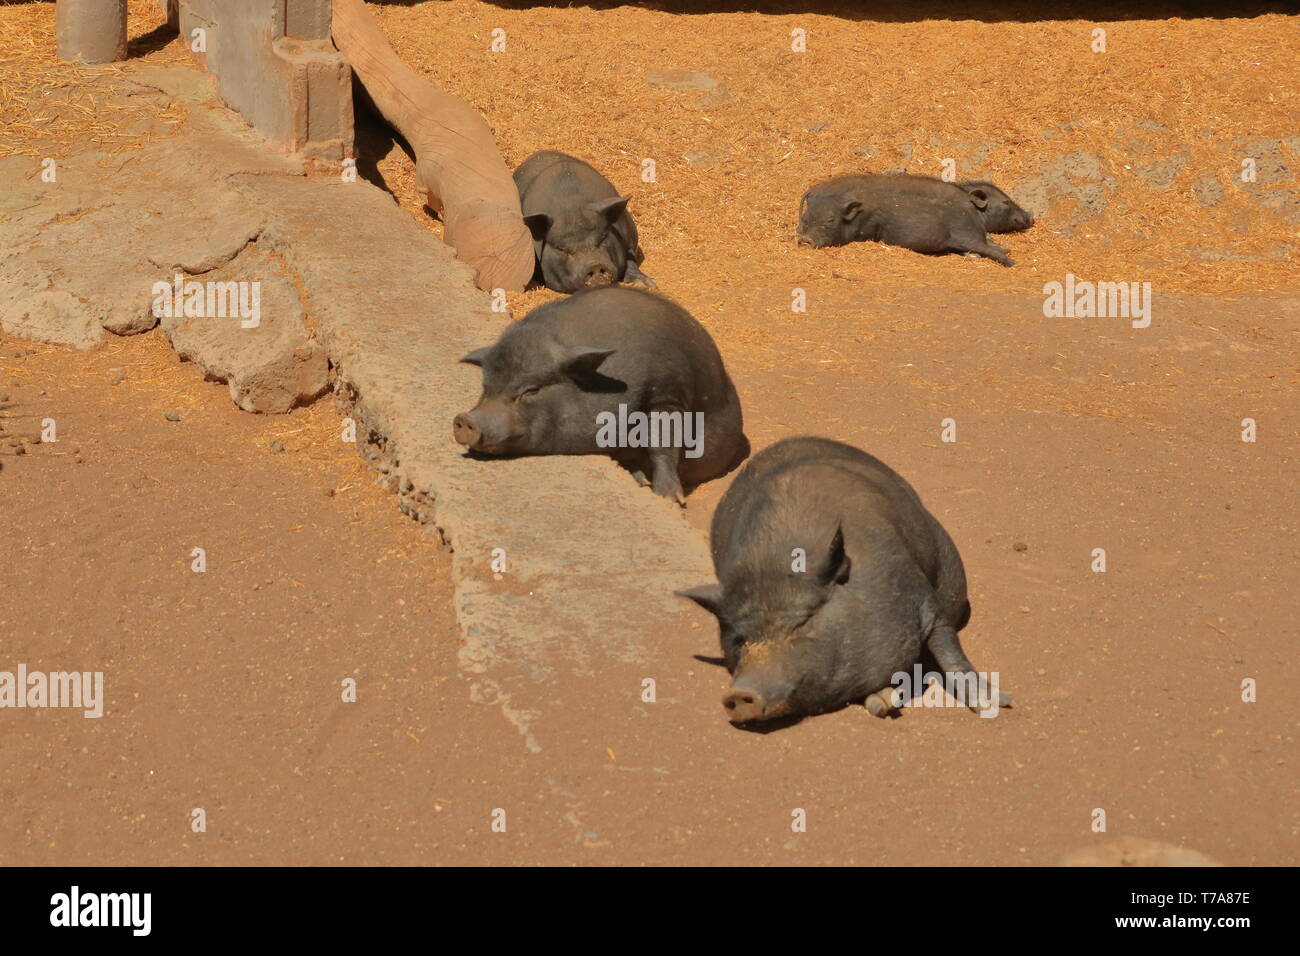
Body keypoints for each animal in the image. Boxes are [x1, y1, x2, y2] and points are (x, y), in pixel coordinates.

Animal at [452, 286, 746, 502]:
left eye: (531, 390)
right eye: (486, 387)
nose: (465, 419)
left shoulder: (668, 392)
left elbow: (661, 441)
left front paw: (667, 498)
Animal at [514, 150, 656, 293]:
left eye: (603, 238)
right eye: (561, 248)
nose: (594, 265)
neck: (571, 206)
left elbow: (630, 260)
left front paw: (647, 285)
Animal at [678, 436, 1010, 724]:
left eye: (803, 622)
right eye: (739, 639)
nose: (739, 693)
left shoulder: (924, 600)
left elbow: (948, 647)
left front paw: (995, 705)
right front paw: (880, 703)